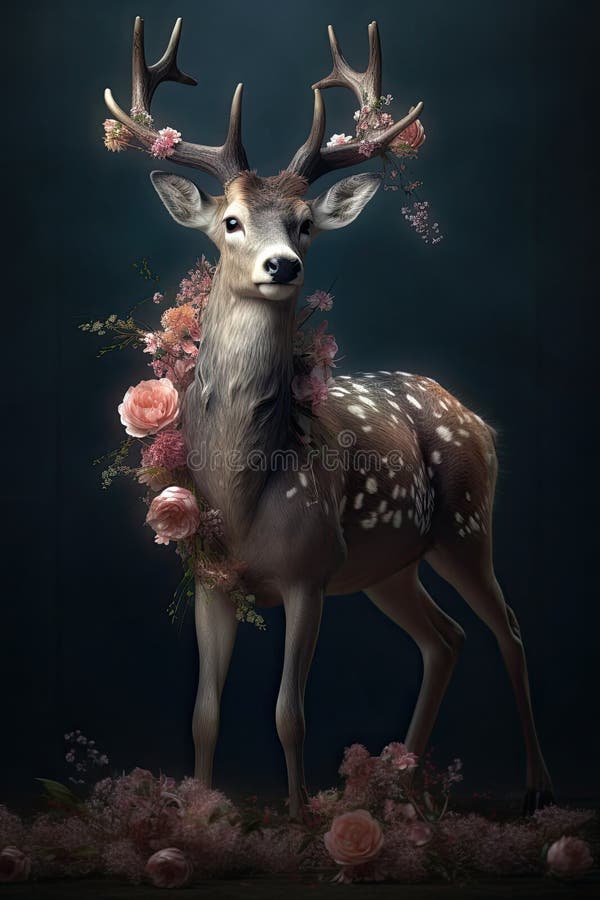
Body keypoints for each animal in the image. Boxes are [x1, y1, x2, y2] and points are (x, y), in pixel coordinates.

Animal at [104, 16, 554, 820]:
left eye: (307, 222)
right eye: (230, 221)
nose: (283, 264)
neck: (241, 493)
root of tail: (475, 417)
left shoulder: (309, 571)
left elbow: (290, 712)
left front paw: (299, 815)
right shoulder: (211, 579)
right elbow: (204, 712)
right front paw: (200, 811)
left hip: (468, 523)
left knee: (508, 630)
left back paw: (534, 788)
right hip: (389, 564)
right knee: (446, 639)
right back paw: (398, 782)